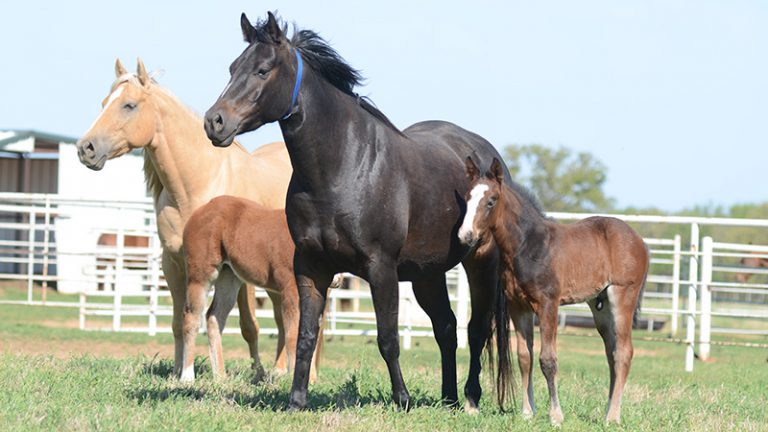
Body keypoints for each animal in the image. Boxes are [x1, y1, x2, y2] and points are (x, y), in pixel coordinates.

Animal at [75, 59, 295, 380]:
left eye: (129, 105)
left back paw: (277, 371)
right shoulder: (173, 264)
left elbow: (245, 325)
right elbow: (181, 321)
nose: (85, 148)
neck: (197, 185)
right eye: (104, 103)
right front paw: (180, 371)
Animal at [181, 195, 339, 383]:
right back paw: (187, 377)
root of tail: (202, 209)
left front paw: (311, 380)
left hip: (229, 277)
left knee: (214, 317)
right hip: (201, 275)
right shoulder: (290, 290)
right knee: (191, 318)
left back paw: (220, 377)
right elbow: (293, 335)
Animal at [204, 12, 513, 412]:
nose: (214, 122)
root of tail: (487, 154)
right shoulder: (310, 267)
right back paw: (448, 398)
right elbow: (305, 335)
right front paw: (297, 400)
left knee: (476, 330)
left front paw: (402, 400)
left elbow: (388, 338)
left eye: (262, 70)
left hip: (480, 262)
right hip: (427, 274)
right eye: (232, 68)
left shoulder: (381, 269)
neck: (344, 167)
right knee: (446, 329)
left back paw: (471, 397)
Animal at [459, 157, 649, 425]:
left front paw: (556, 416)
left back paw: (612, 417)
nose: (466, 235)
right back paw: (608, 411)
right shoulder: (518, 307)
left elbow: (548, 359)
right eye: (467, 197)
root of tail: (639, 241)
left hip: (622, 295)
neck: (527, 245)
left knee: (623, 352)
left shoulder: (548, 304)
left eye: (491, 200)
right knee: (611, 352)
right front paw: (527, 412)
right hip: (599, 305)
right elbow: (524, 357)